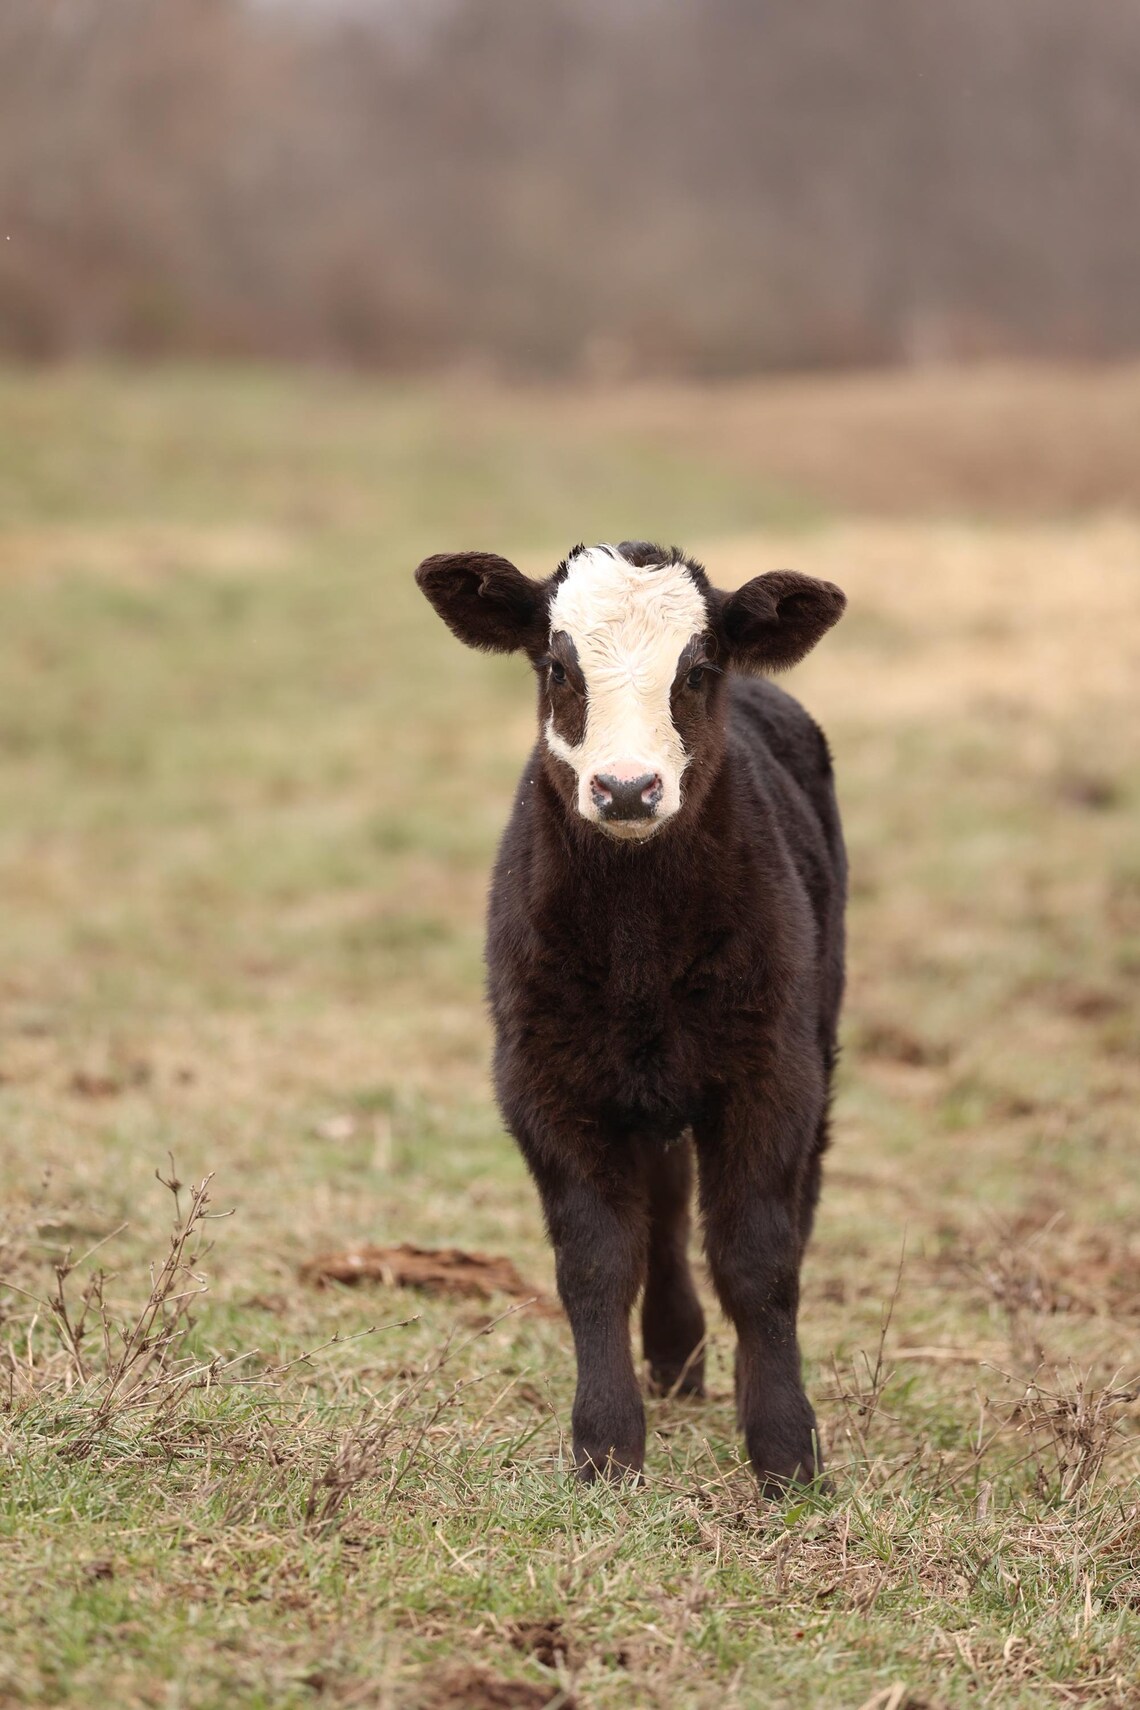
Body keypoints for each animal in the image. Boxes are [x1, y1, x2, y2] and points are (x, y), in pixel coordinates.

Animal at [415, 540, 847, 1490]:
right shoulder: (542, 1079)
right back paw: (676, 1355)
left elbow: (760, 1260)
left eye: (699, 668)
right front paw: (607, 1447)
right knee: (665, 1200)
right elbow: (596, 1258)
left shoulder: (774, 1074)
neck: (640, 946)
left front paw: (786, 1453)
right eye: (557, 665)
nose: (624, 789)